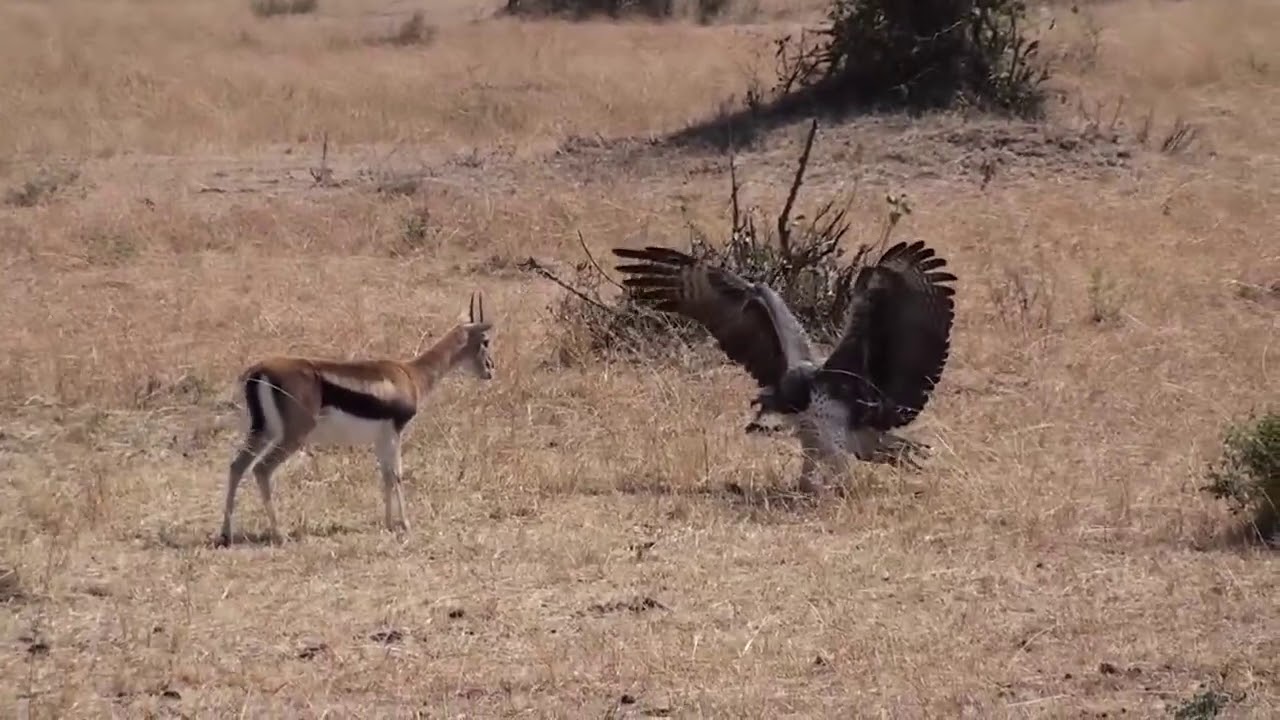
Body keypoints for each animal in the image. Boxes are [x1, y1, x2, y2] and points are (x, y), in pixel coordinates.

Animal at [217, 292, 495, 547]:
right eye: (485, 341)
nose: (491, 369)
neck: (411, 374)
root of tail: (257, 371)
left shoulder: (381, 437)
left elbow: (385, 475)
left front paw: (389, 523)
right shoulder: (395, 432)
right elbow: (397, 475)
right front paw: (405, 524)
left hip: (262, 431)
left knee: (237, 466)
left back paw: (225, 535)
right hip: (292, 435)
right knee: (261, 469)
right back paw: (279, 535)